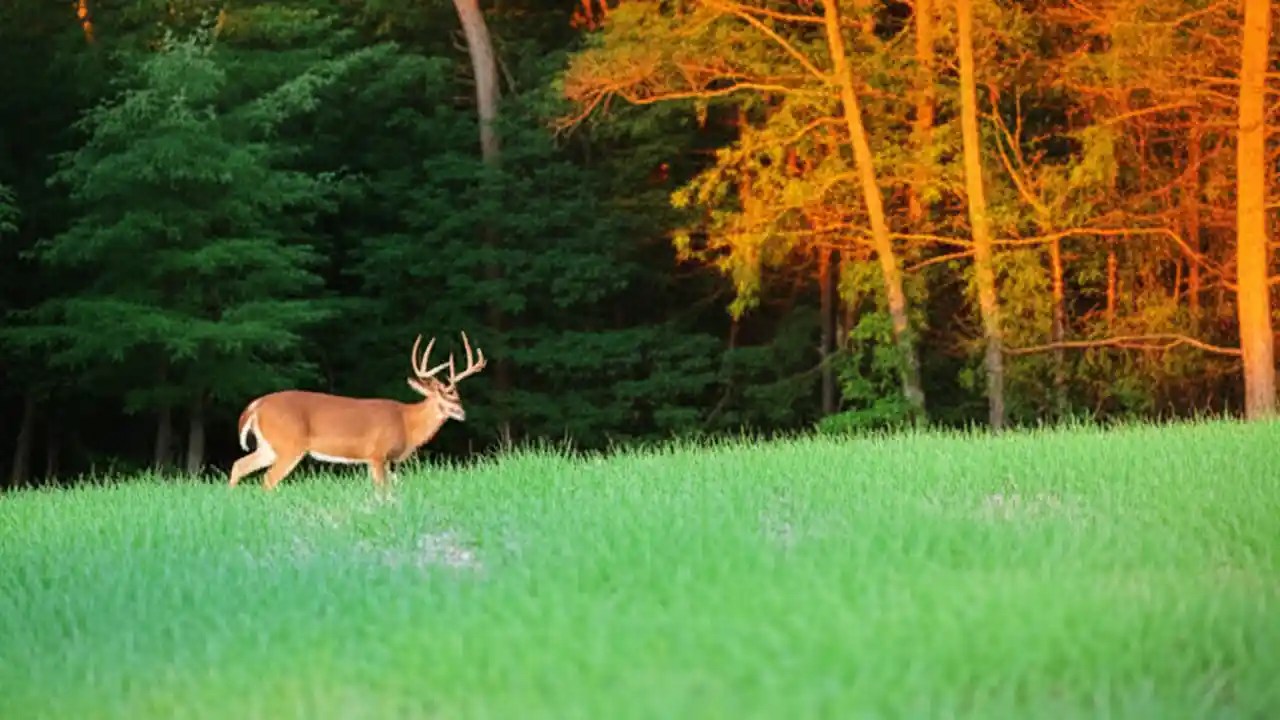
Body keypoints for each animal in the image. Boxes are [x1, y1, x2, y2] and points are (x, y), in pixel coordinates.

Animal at [228, 331, 487, 491]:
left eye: (458, 396)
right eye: (444, 396)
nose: (462, 413)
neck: (407, 422)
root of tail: (256, 404)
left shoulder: (380, 460)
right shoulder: (377, 453)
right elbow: (383, 489)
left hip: (269, 446)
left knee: (239, 465)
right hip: (289, 444)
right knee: (268, 479)